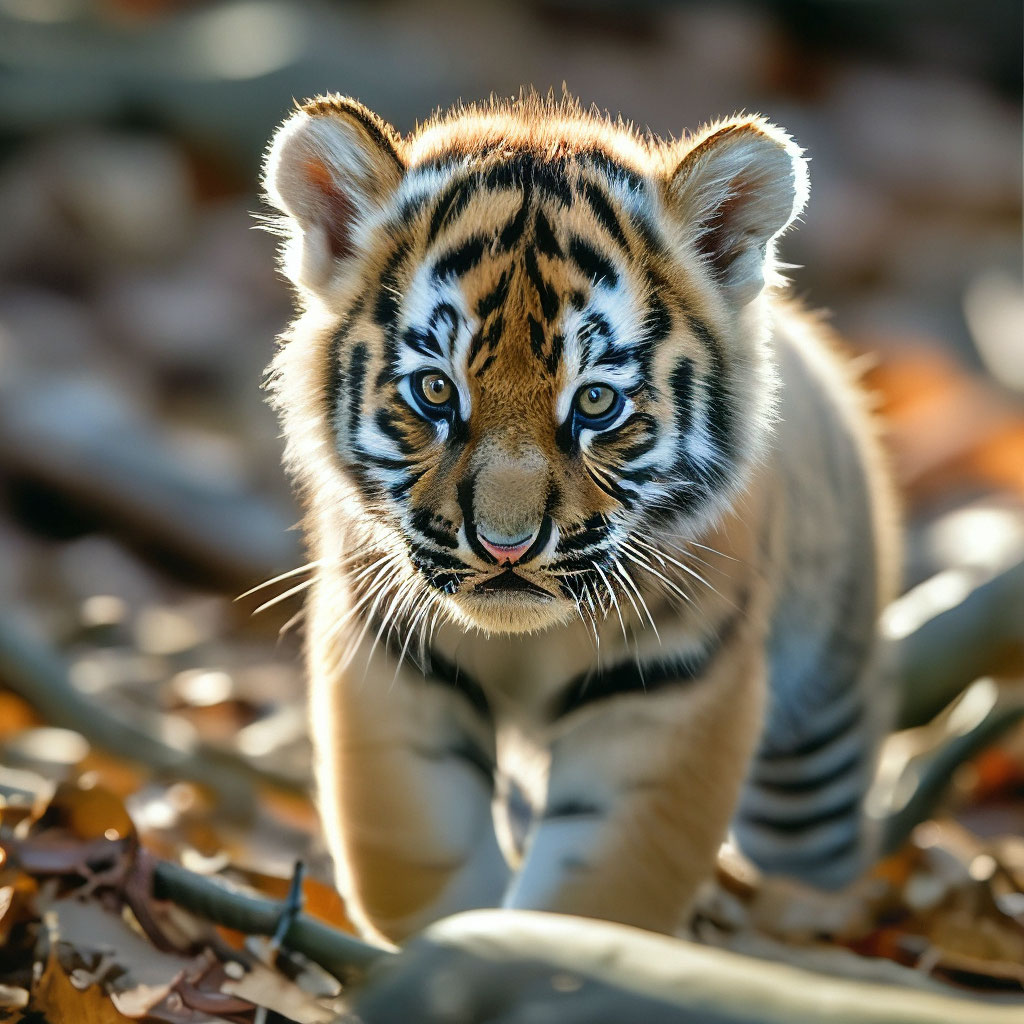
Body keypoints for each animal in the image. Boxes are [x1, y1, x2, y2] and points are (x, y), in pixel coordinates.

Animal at [262, 92, 899, 946]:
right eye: (436, 391)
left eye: (595, 401)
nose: (504, 547)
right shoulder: (389, 655)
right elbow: (417, 852)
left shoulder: (670, 690)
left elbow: (596, 898)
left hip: (822, 725)